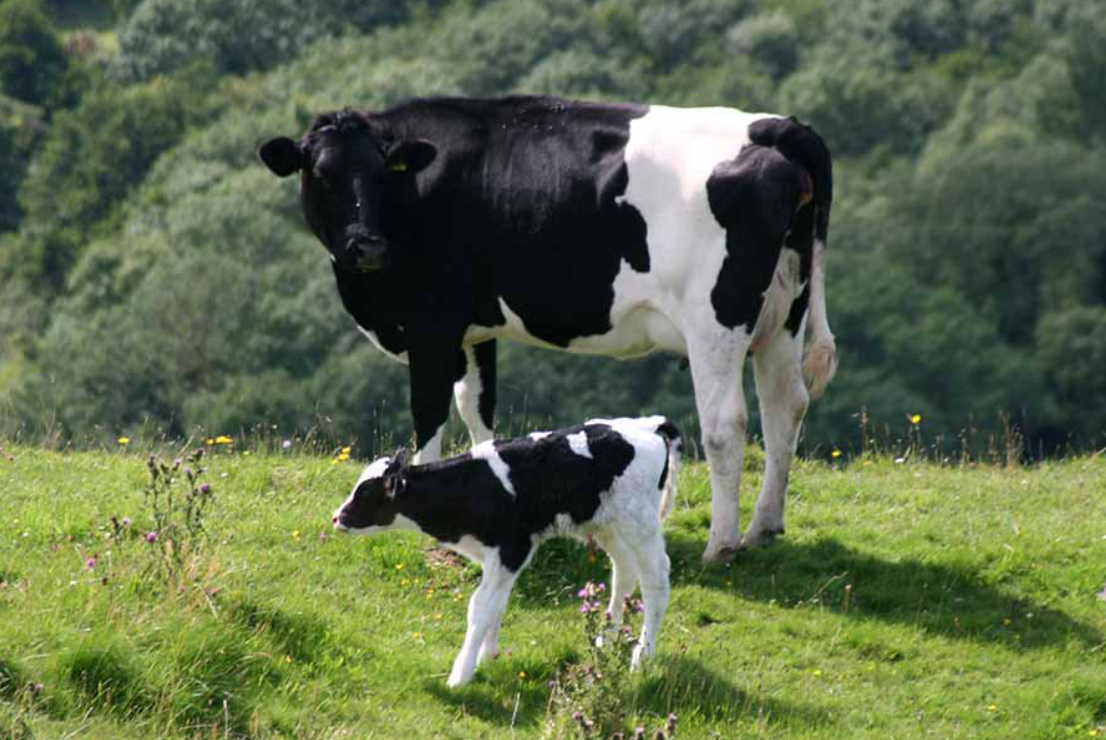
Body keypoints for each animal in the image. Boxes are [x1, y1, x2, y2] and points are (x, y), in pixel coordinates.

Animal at [258, 95, 831, 561]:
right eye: (321, 173)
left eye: (382, 174)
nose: (366, 246)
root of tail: (774, 126)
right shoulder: (475, 327)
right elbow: (477, 406)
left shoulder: (431, 325)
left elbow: (430, 413)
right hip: (786, 311)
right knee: (785, 405)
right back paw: (764, 528)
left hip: (717, 319)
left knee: (726, 424)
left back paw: (722, 545)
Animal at [329, 415, 681, 685]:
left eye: (365, 493)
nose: (336, 517)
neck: (471, 486)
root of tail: (649, 425)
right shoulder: (495, 557)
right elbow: (495, 604)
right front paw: (488, 656)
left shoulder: (512, 550)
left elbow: (481, 607)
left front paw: (461, 674)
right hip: (609, 525)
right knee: (624, 570)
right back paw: (606, 637)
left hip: (641, 524)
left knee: (657, 580)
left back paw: (642, 657)